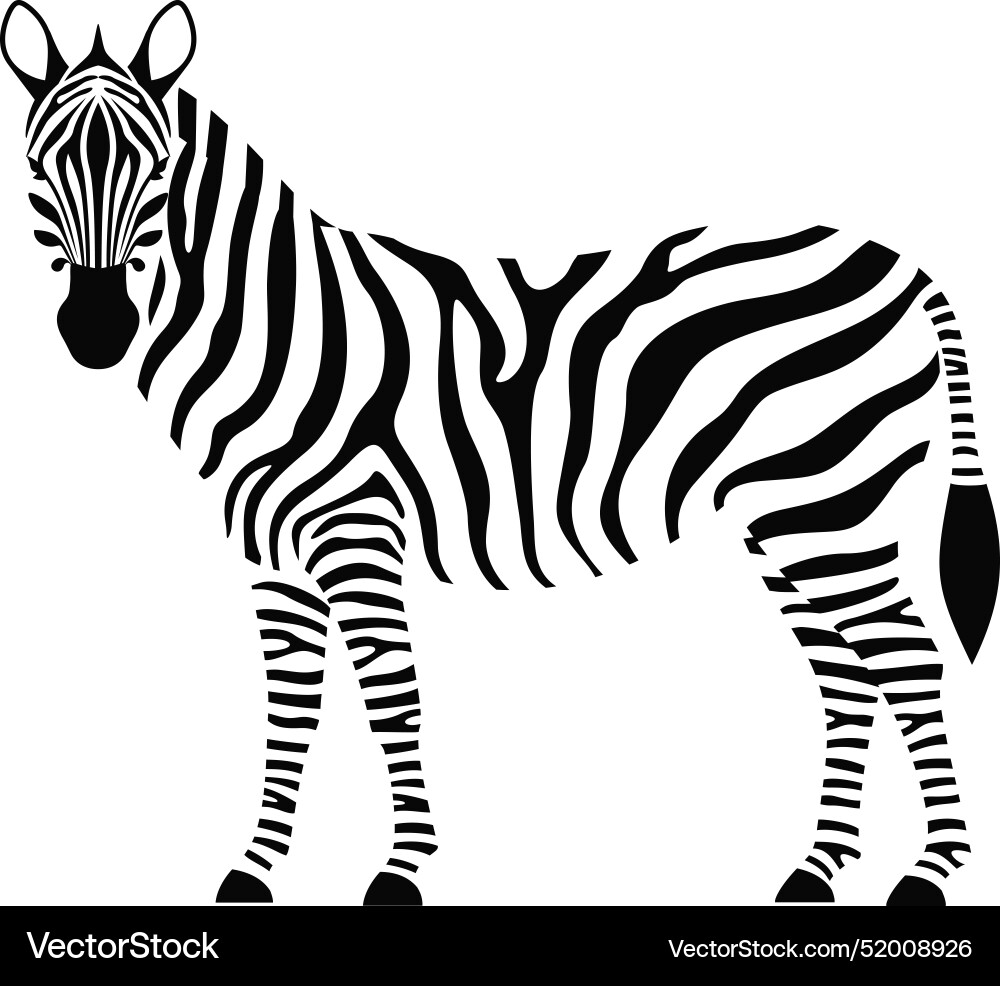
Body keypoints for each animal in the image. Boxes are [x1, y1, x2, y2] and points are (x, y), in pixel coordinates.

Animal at [2, 0, 997, 907]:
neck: (284, 331)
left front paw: (400, 870)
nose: (95, 333)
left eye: (158, 175)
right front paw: (254, 872)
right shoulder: (268, 557)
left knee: (908, 658)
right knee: (846, 673)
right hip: (786, 519)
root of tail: (903, 265)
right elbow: (293, 707)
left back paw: (929, 872)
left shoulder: (358, 532)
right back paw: (816, 871)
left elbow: (389, 694)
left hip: (829, 506)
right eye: (36, 174)